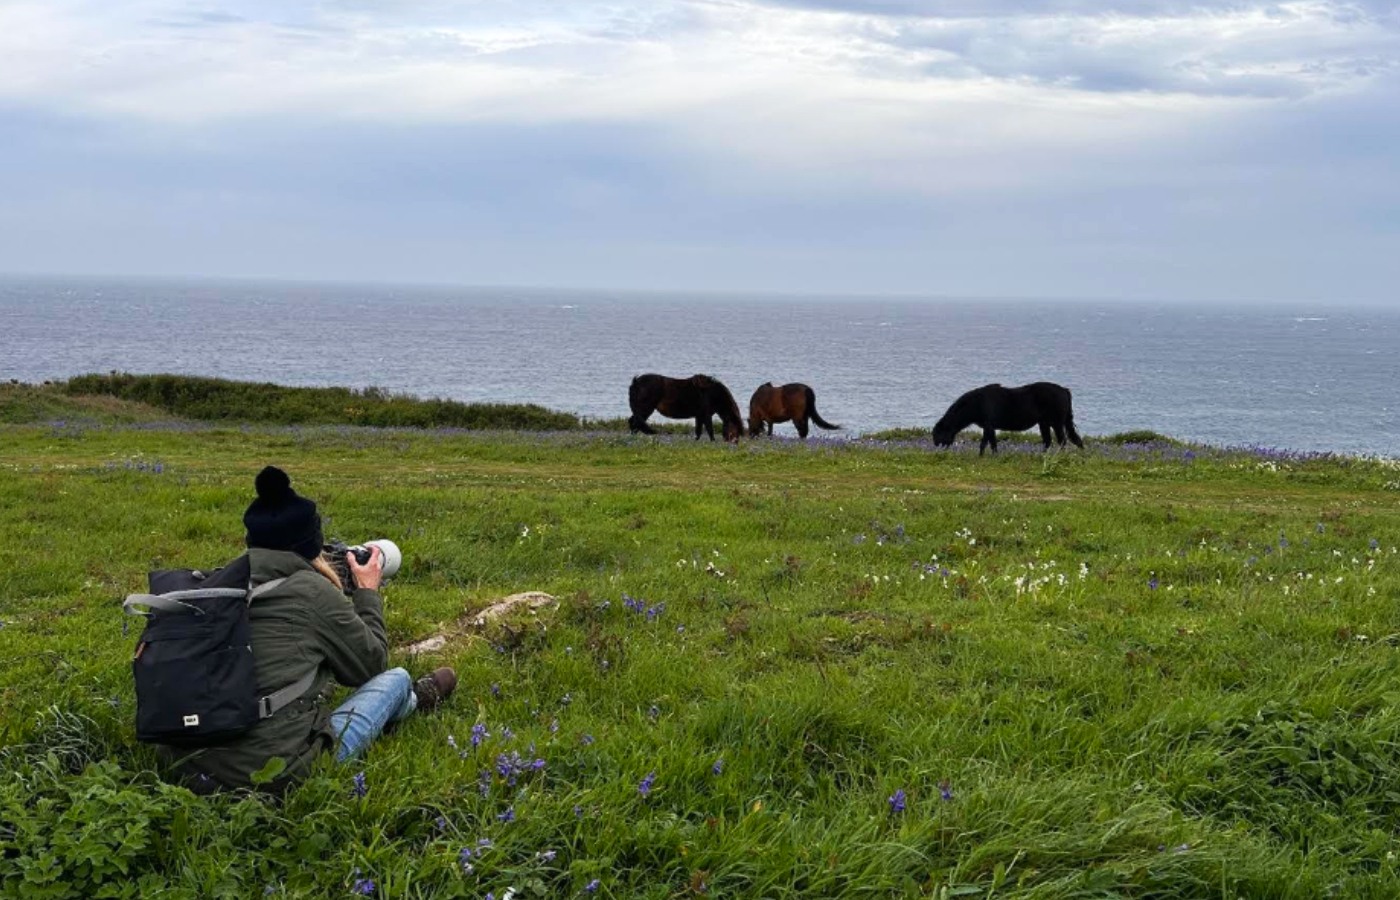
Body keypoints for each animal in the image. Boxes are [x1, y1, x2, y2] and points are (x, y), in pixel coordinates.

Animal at [932, 382, 1084, 455]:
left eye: (937, 433)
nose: (935, 445)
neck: (976, 403)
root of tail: (1064, 390)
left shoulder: (988, 425)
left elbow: (984, 443)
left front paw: (980, 456)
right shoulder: (991, 427)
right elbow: (993, 443)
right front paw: (994, 456)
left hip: (1057, 423)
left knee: (1062, 441)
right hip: (1044, 423)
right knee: (1048, 441)